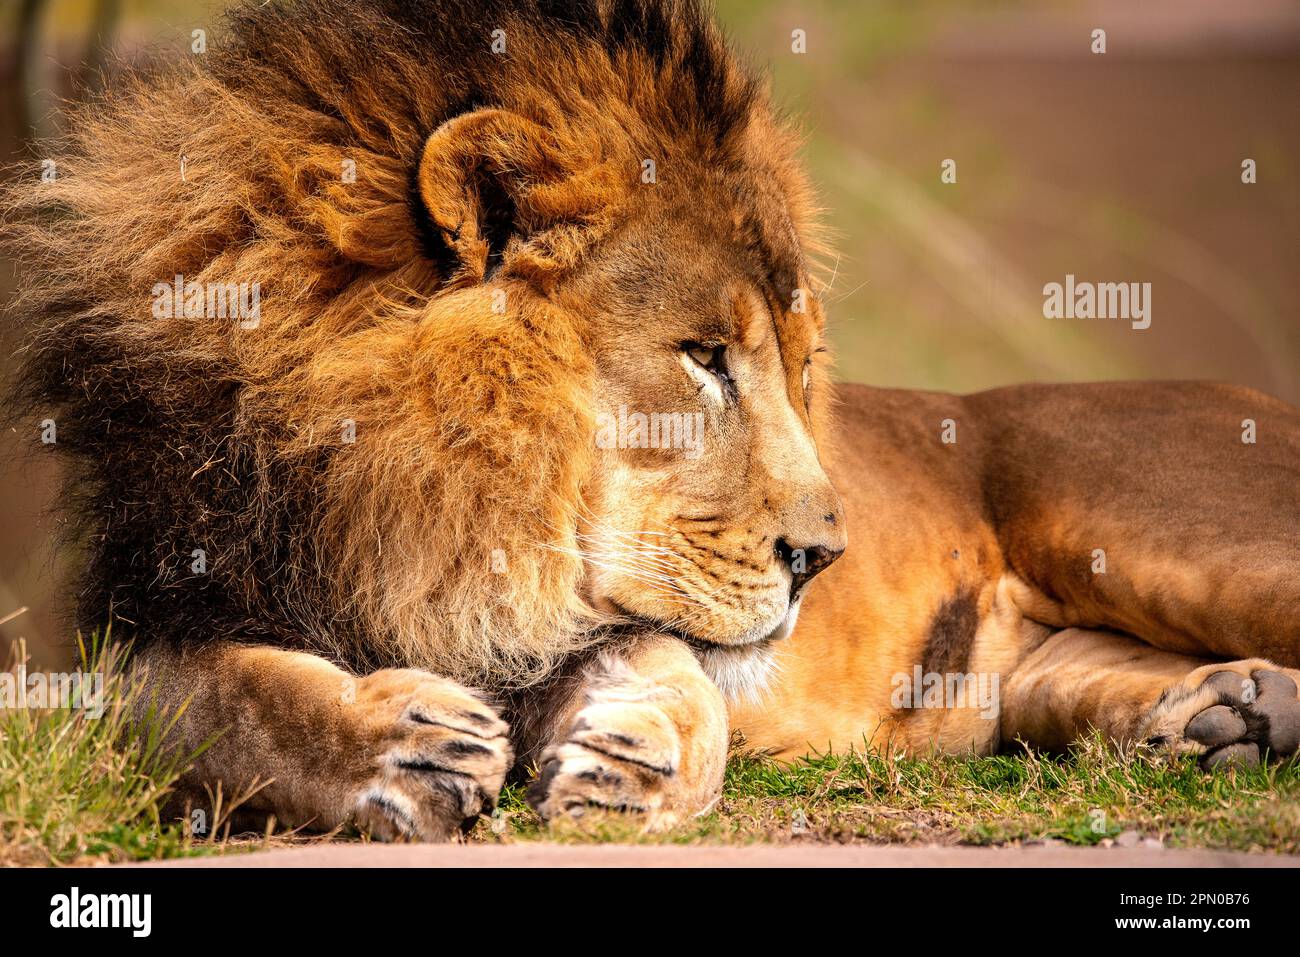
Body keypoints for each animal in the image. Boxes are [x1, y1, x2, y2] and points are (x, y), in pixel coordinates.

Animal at [3, 0, 1297, 841]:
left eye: (799, 367)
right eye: (704, 358)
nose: (825, 558)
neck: (412, 501)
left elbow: (667, 662)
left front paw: (638, 751)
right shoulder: (105, 632)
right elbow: (204, 706)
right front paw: (392, 750)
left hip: (1159, 524)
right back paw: (1223, 717)